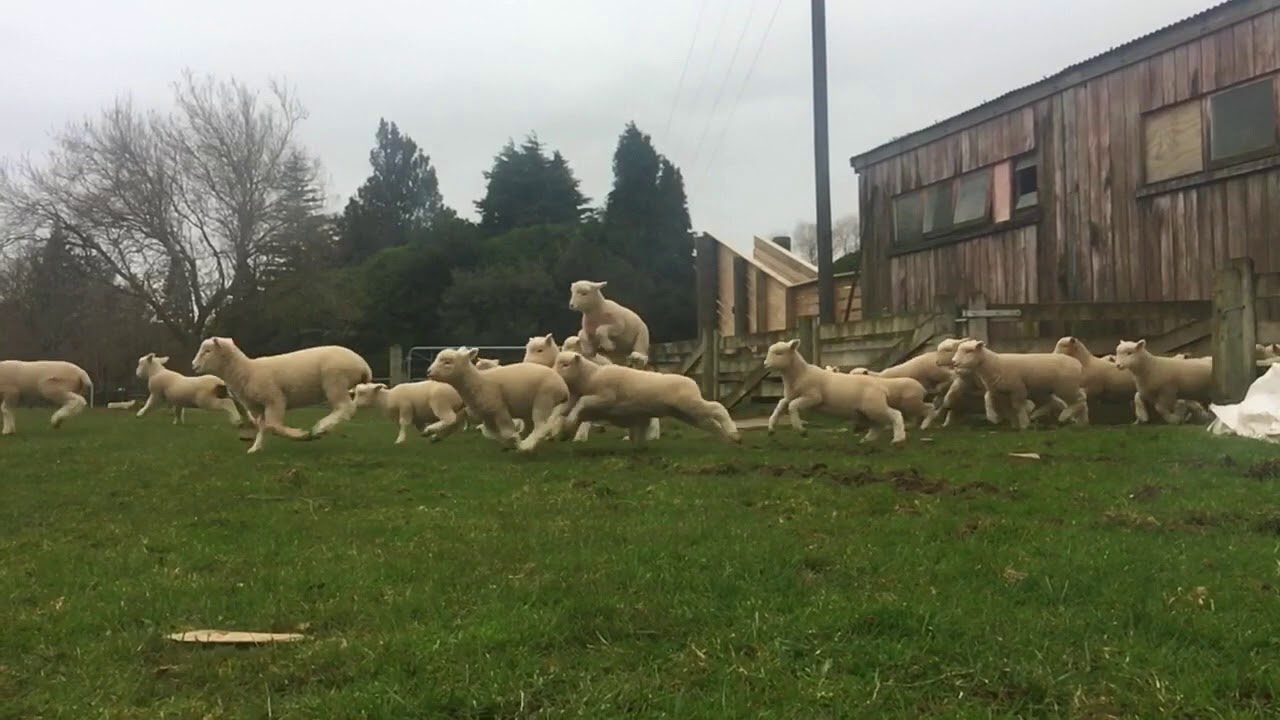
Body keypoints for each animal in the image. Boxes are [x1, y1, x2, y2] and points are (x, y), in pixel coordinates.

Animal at [190, 338, 371, 454]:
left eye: (207, 351)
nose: (193, 365)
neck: (246, 371)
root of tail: (363, 365)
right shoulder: (259, 407)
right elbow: (263, 427)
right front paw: (255, 448)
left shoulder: (274, 398)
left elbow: (273, 425)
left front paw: (300, 435)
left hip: (335, 381)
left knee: (346, 407)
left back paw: (321, 427)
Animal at [427, 346, 569, 452]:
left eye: (447, 362)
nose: (428, 372)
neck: (478, 382)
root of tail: (563, 387)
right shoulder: (486, 415)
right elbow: (491, 433)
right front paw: (510, 442)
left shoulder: (499, 409)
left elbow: (506, 431)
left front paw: (515, 442)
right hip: (530, 407)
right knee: (533, 425)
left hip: (544, 399)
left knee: (541, 425)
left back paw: (526, 445)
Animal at [553, 351, 739, 445]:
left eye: (565, 364)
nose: (553, 374)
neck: (590, 377)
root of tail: (692, 382)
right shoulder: (583, 403)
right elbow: (562, 411)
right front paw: (560, 429)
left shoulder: (605, 398)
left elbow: (582, 402)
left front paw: (568, 424)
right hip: (686, 413)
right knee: (710, 423)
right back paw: (728, 438)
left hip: (690, 404)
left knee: (717, 408)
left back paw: (733, 433)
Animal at [764, 340, 906, 445]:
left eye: (779, 353)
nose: (765, 364)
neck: (801, 374)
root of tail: (882, 386)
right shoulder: (791, 395)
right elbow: (781, 404)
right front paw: (771, 427)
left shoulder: (813, 397)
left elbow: (792, 406)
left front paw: (800, 429)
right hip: (867, 410)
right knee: (878, 424)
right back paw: (867, 440)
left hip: (874, 406)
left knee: (895, 414)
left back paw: (898, 439)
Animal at [951, 340, 1089, 429]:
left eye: (969, 351)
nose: (953, 362)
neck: (994, 364)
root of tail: (1077, 363)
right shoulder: (1000, 392)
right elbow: (1006, 409)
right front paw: (1012, 424)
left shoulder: (1018, 388)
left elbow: (1017, 407)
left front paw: (1023, 424)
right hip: (1048, 390)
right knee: (1072, 402)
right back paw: (1082, 423)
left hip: (1066, 386)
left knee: (1081, 399)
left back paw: (1065, 416)